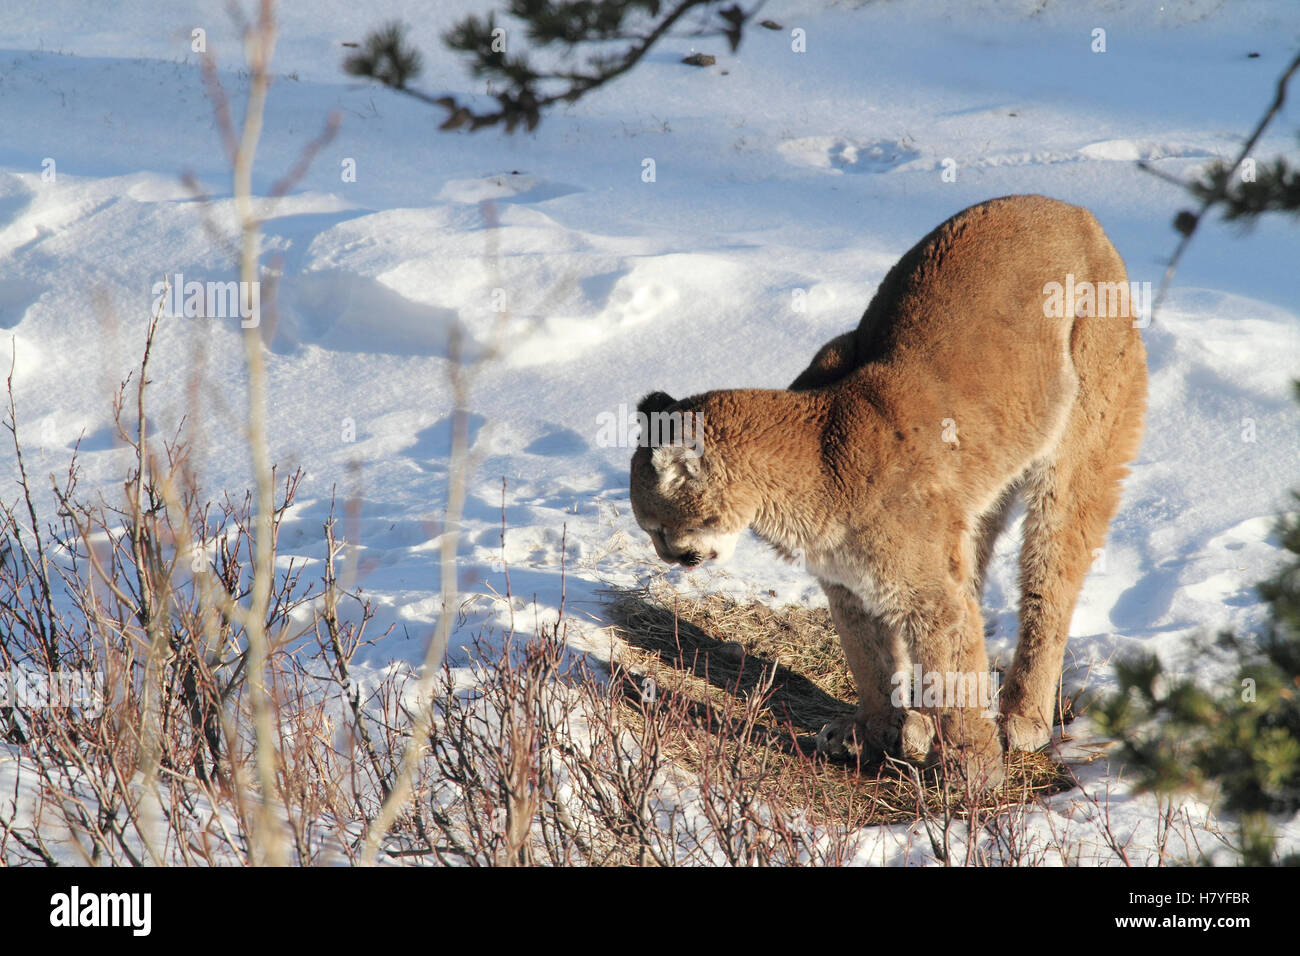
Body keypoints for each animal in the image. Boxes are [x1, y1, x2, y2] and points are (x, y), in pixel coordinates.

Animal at [628, 194, 1148, 788]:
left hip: (1078, 458)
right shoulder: (848, 586)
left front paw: (971, 772)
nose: (666, 556)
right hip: (974, 503)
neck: (812, 456)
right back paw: (921, 723)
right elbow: (869, 659)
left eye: (658, 526)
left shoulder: (929, 596)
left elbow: (951, 666)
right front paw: (876, 730)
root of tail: (1070, 208)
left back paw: (1022, 719)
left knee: (1051, 581)